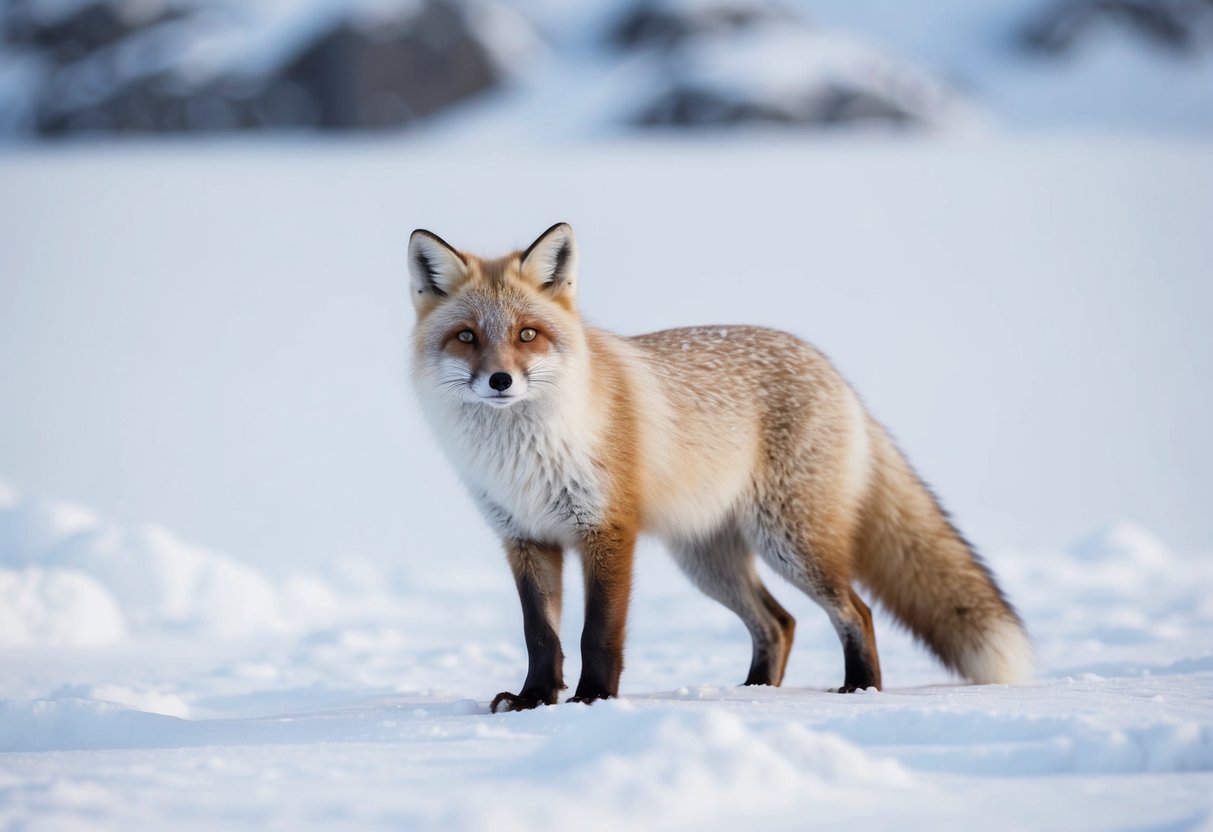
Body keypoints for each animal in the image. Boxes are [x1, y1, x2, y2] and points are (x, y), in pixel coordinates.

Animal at [408, 222, 1032, 712]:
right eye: (466, 337)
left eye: (527, 334)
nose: (501, 381)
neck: (524, 455)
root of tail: (832, 369)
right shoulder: (525, 537)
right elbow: (540, 636)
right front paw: (534, 700)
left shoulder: (607, 531)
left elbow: (597, 634)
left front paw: (593, 701)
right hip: (709, 561)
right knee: (779, 623)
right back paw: (754, 693)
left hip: (791, 544)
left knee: (856, 611)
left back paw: (861, 690)